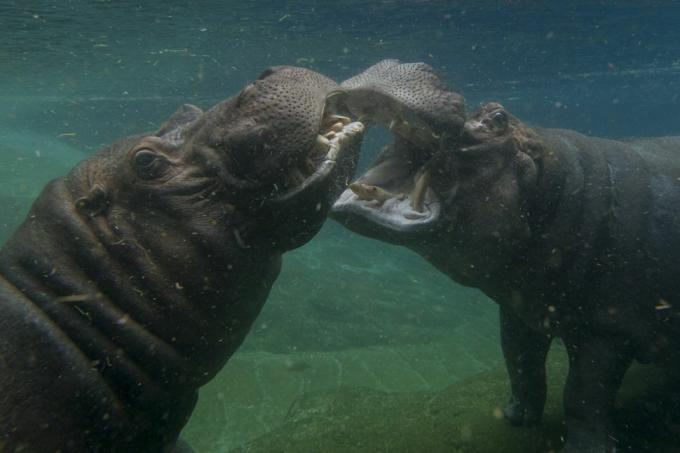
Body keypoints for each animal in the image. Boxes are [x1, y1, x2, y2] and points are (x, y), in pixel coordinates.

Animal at [332, 61, 680, 452]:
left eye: (498, 118)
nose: (409, 63)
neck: (554, 182)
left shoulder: (606, 327)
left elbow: (584, 394)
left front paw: (583, 448)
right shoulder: (518, 305)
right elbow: (519, 359)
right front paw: (516, 417)